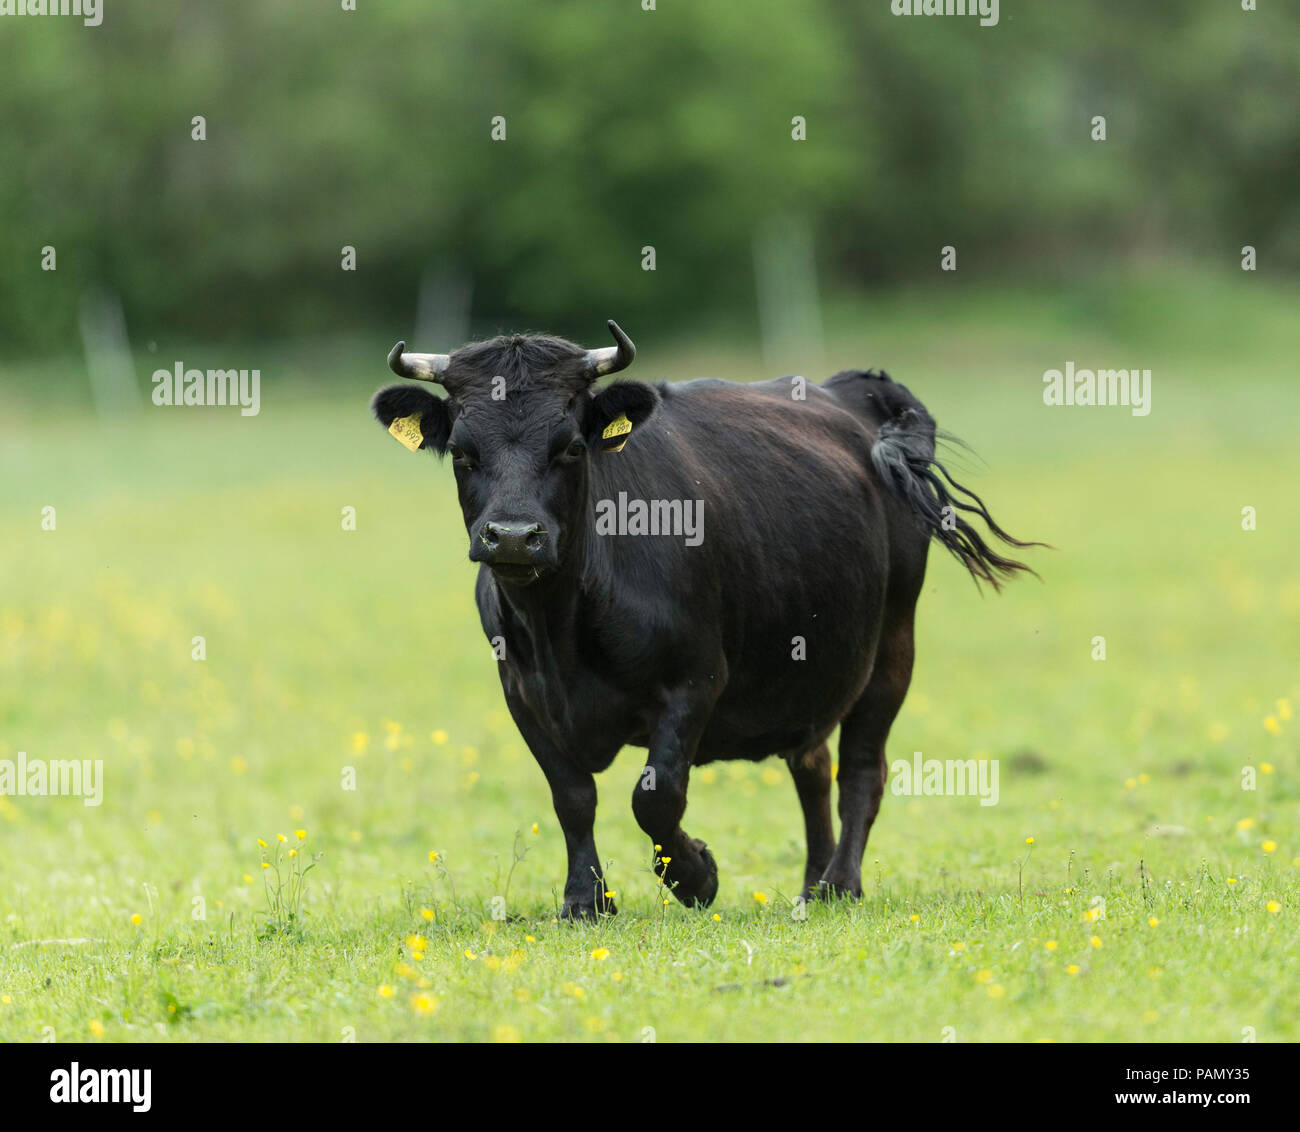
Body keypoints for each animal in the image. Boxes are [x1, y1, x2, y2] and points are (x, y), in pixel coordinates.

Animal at [370, 321, 1037, 919]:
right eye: (463, 453)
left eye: (571, 447)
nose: (513, 536)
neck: (560, 625)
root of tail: (853, 389)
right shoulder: (522, 693)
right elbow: (573, 797)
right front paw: (586, 900)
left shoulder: (695, 680)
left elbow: (656, 797)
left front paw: (697, 877)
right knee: (813, 770)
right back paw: (811, 886)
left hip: (892, 648)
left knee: (861, 772)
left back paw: (840, 884)